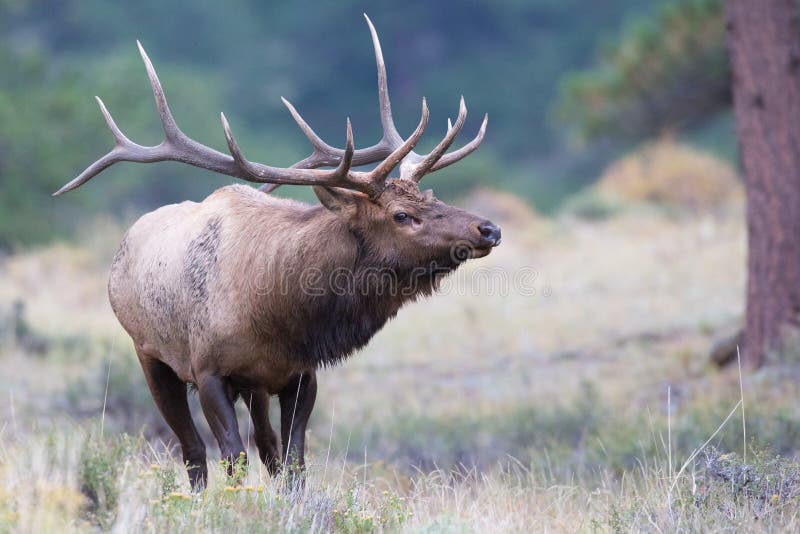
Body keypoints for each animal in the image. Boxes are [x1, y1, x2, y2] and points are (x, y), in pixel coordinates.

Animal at [55, 15, 501, 490]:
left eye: (432, 196)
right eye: (402, 215)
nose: (488, 228)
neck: (277, 313)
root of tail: (122, 250)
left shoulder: (299, 374)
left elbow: (292, 460)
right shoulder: (209, 370)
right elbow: (232, 457)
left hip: (253, 387)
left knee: (265, 445)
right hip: (151, 355)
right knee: (193, 452)